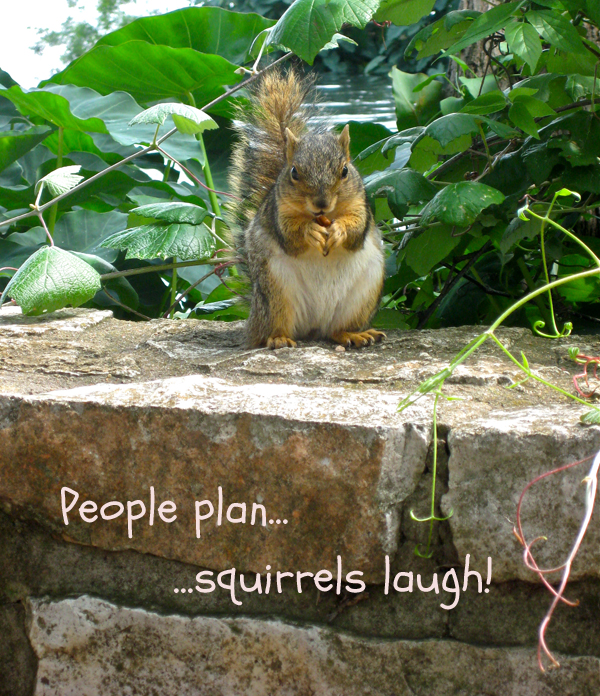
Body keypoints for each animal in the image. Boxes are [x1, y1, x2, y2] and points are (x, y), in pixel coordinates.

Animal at [228, 68, 385, 349]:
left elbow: (356, 229)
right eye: (294, 172)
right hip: (275, 295)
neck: (324, 216)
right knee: (274, 328)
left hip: (363, 295)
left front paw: (339, 231)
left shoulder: (360, 205)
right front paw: (309, 232)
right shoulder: (278, 212)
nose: (321, 203)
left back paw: (354, 334)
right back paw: (278, 338)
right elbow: (291, 235)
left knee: (336, 330)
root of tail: (313, 328)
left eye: (345, 171)